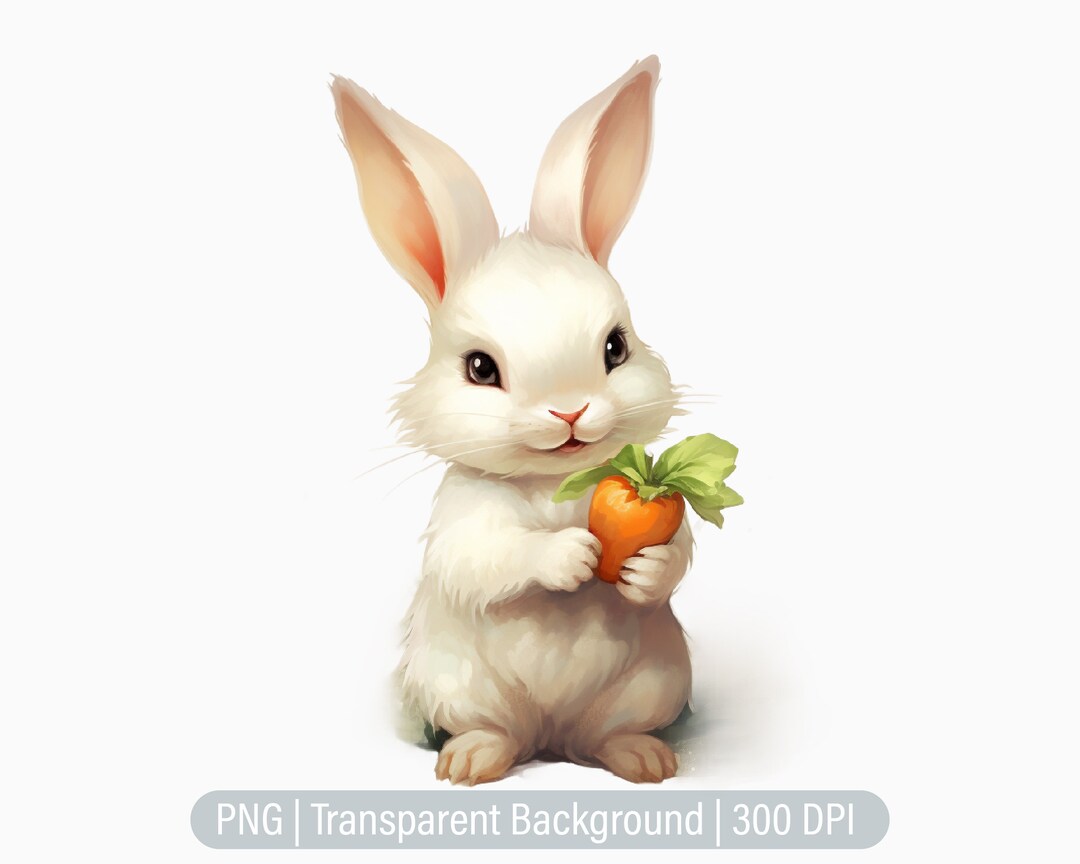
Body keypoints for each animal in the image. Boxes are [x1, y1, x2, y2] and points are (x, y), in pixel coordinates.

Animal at [332, 56, 694, 784]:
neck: (551, 484)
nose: (570, 412)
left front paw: (645, 572)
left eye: (616, 349)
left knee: (608, 735)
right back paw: (469, 763)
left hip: (653, 682)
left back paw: (645, 760)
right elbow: (485, 557)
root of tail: (552, 740)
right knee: (496, 730)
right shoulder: (463, 518)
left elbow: (683, 553)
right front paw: (571, 553)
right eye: (479, 368)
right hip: (456, 683)